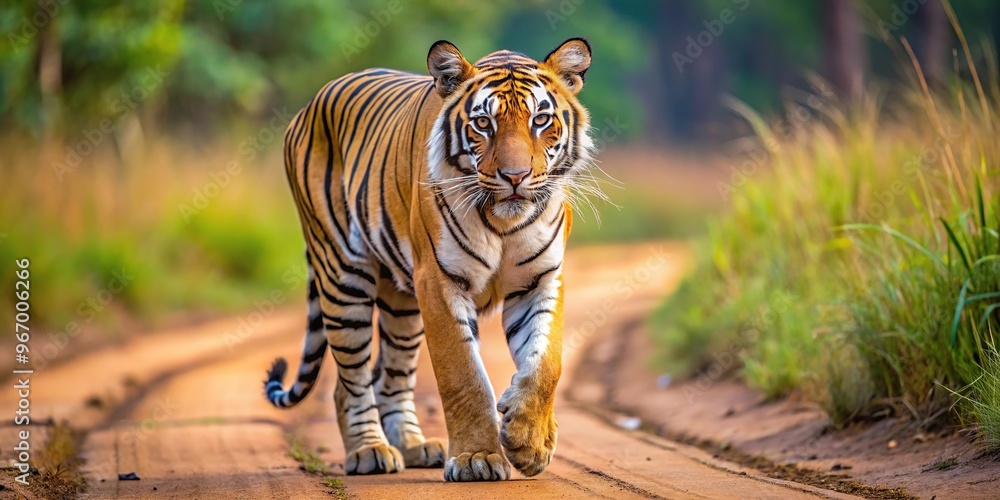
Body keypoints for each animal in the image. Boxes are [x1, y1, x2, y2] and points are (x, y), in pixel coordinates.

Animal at [263, 38, 594, 482]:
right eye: (483, 124)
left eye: (541, 120)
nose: (515, 176)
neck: (504, 222)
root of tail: (311, 103)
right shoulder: (439, 282)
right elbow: (463, 373)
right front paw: (476, 459)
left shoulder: (540, 279)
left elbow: (547, 362)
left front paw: (529, 441)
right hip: (342, 275)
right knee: (349, 380)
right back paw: (369, 451)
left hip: (402, 305)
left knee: (392, 377)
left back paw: (415, 446)